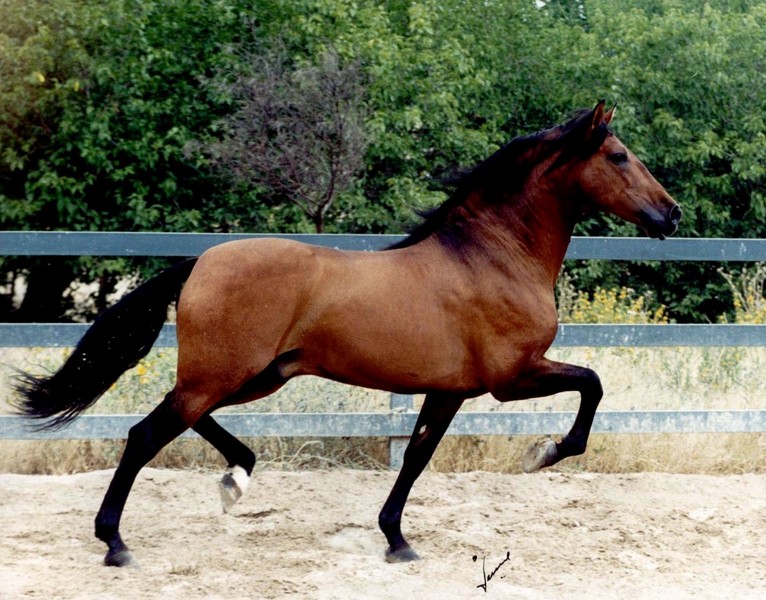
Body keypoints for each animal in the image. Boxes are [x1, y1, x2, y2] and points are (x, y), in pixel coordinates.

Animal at [13, 100, 681, 568]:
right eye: (619, 156)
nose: (671, 214)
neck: (492, 257)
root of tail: (200, 261)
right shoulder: (511, 378)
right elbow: (592, 384)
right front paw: (545, 453)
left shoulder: (449, 390)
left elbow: (415, 457)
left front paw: (396, 541)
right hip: (225, 373)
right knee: (145, 433)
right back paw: (115, 543)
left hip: (256, 375)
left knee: (185, 419)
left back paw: (236, 478)